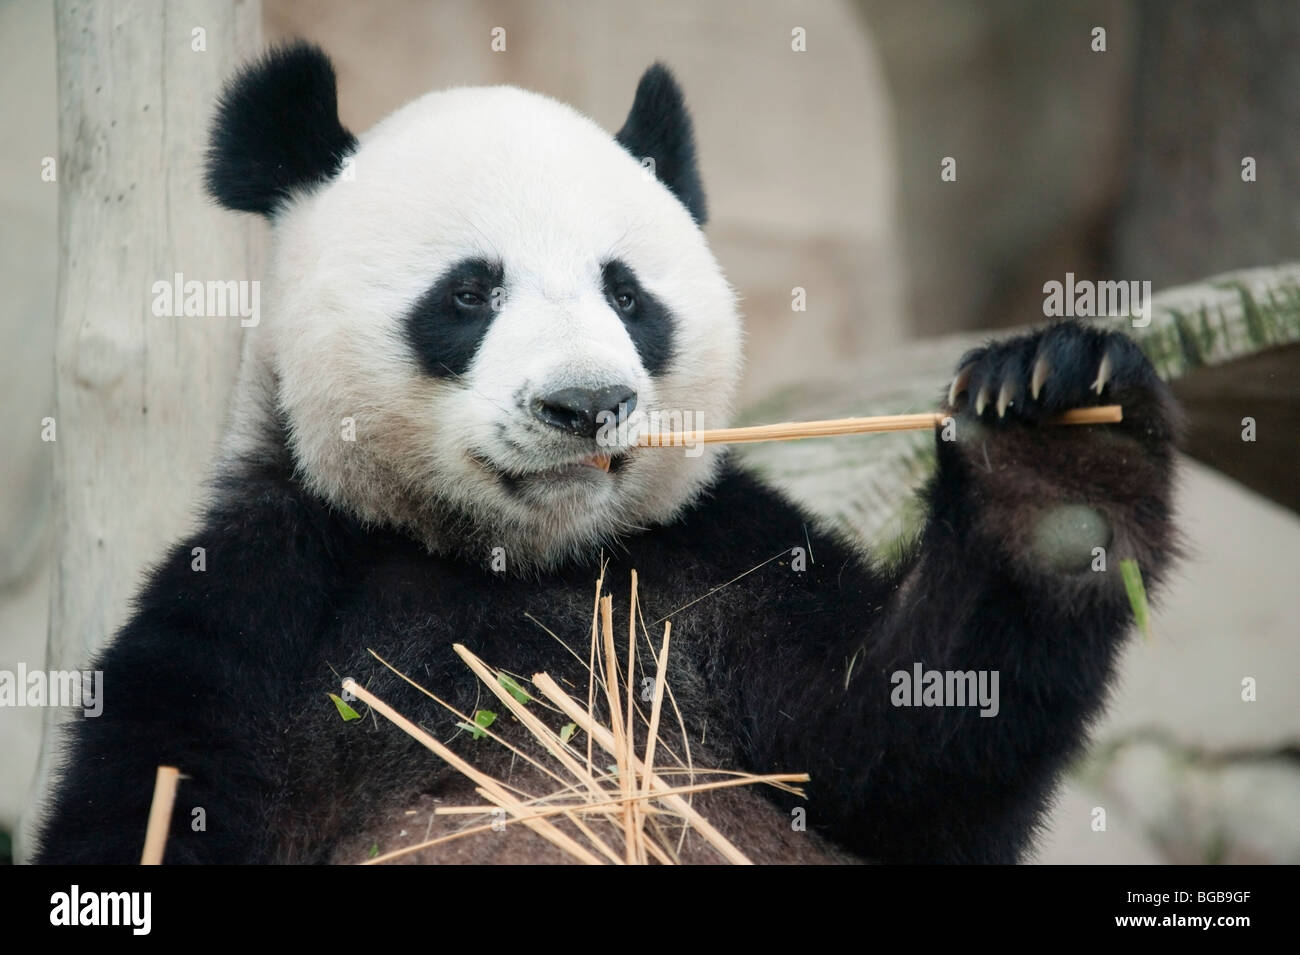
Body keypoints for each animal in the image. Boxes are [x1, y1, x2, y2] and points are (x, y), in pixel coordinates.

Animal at [34, 42, 1180, 865]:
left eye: (627, 294)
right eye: (470, 292)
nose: (587, 404)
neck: (518, 560)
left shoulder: (712, 565)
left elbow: (896, 761)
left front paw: (1055, 442)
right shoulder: (262, 605)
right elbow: (151, 807)